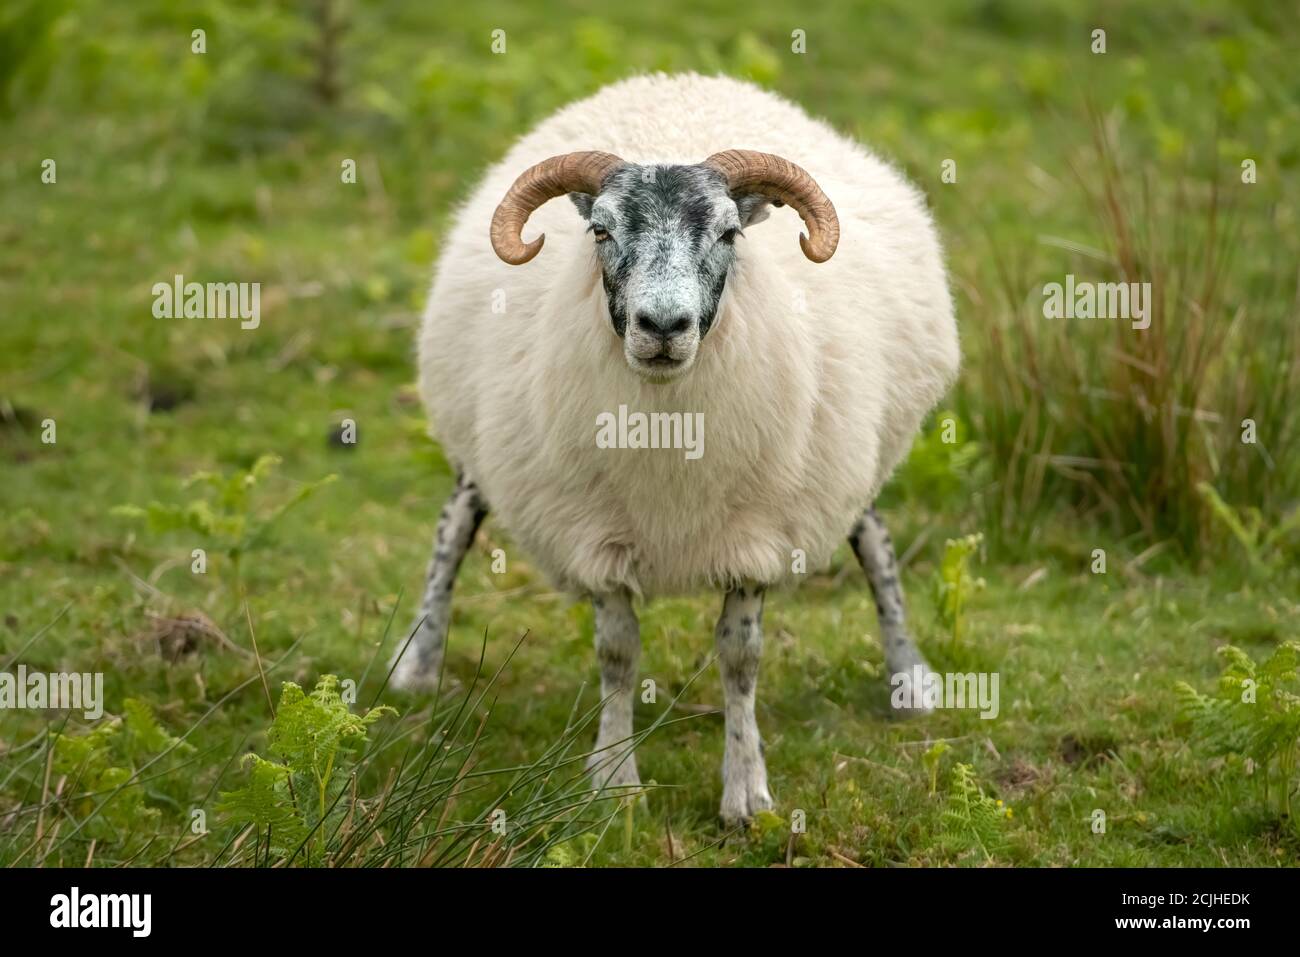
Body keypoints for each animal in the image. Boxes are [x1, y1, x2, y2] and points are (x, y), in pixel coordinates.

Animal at [390, 73, 960, 825]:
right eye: (600, 229)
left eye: (728, 231)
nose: (663, 325)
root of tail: (678, 80)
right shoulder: (592, 532)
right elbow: (617, 654)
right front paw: (614, 780)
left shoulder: (760, 532)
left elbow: (740, 658)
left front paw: (747, 792)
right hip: (485, 455)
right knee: (453, 529)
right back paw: (418, 663)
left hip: (840, 455)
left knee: (876, 543)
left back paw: (910, 678)